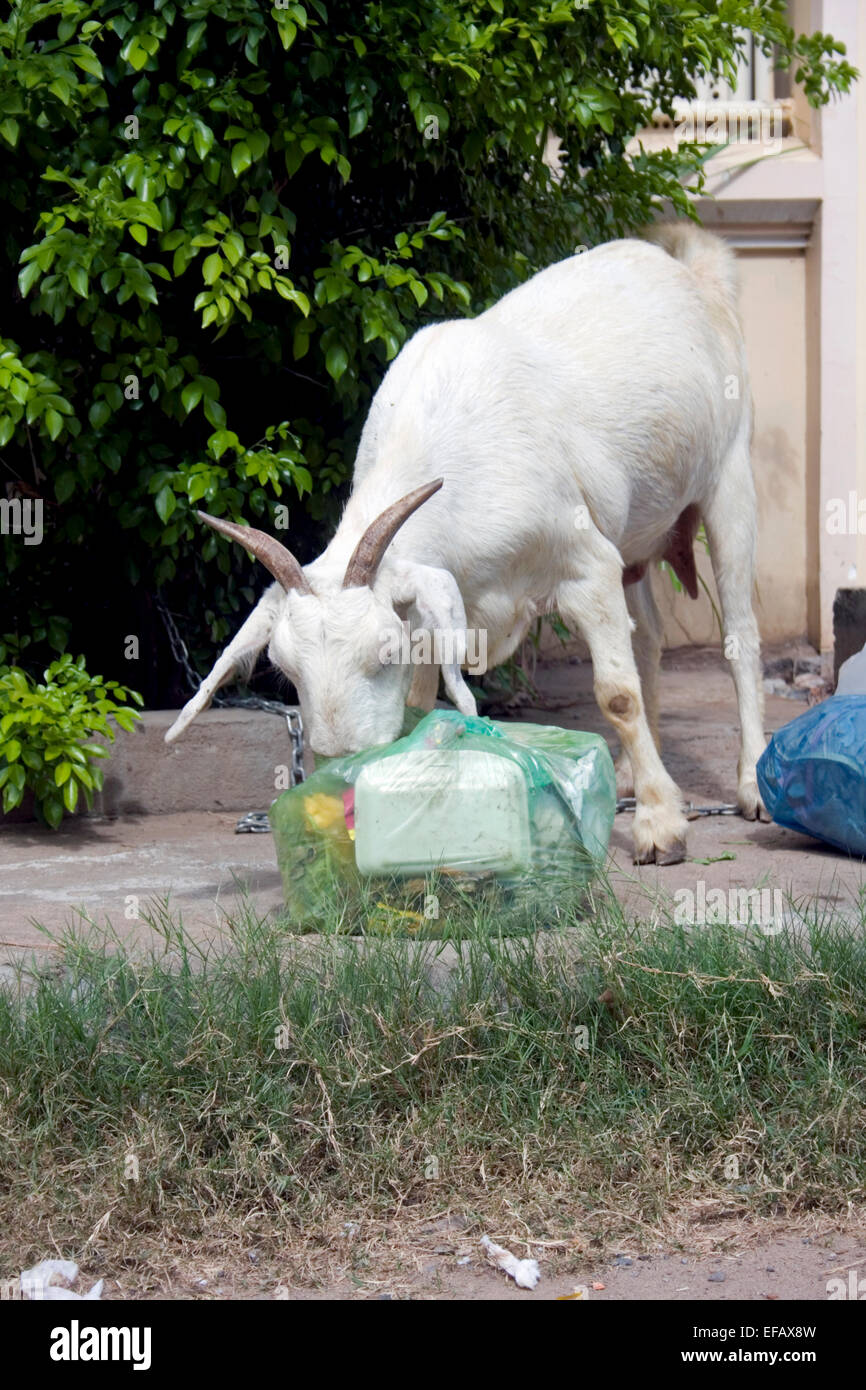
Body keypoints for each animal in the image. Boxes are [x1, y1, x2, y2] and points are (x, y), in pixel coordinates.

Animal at [165, 222, 767, 864]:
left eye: (384, 652)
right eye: (282, 668)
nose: (341, 763)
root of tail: (690, 271)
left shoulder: (586, 565)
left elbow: (616, 695)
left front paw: (660, 827)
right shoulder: (439, 607)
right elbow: (423, 707)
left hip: (730, 476)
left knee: (739, 636)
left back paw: (751, 783)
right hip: (635, 535)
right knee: (649, 635)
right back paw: (631, 776)